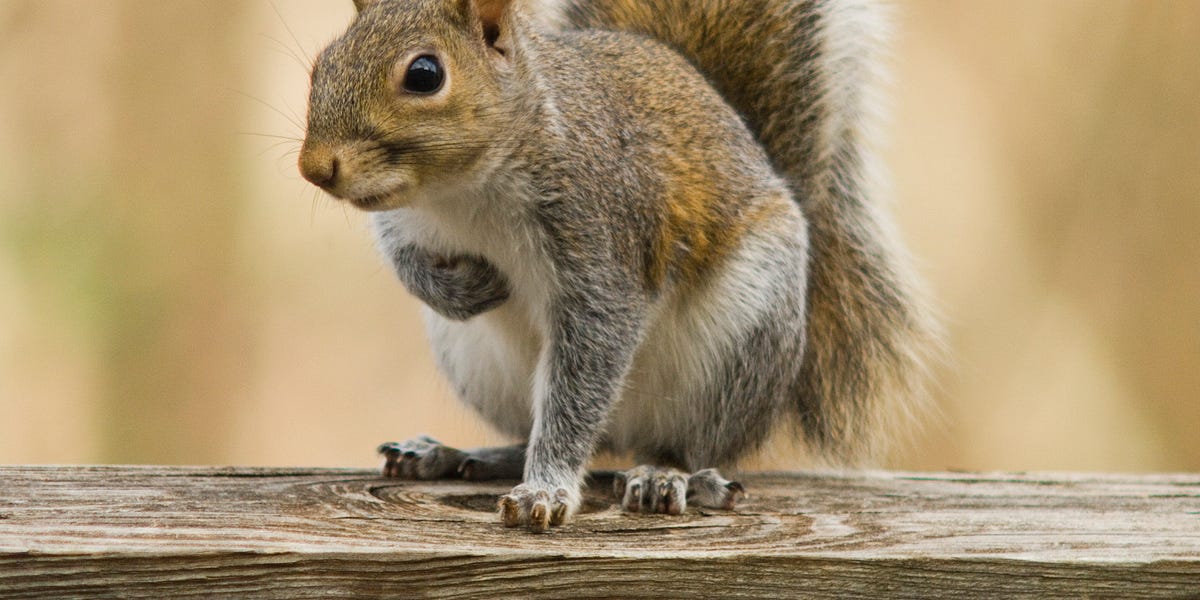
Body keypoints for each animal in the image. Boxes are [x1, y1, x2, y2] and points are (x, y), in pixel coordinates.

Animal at [298, 0, 936, 532]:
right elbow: (406, 260)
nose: (314, 167)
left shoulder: (603, 243)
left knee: (682, 444)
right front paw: (467, 288)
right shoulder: (404, 221)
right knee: (545, 432)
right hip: (477, 364)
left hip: (740, 341)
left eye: (425, 74)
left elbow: (586, 369)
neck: (461, 192)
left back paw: (666, 475)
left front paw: (545, 492)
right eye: (323, 62)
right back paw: (456, 455)